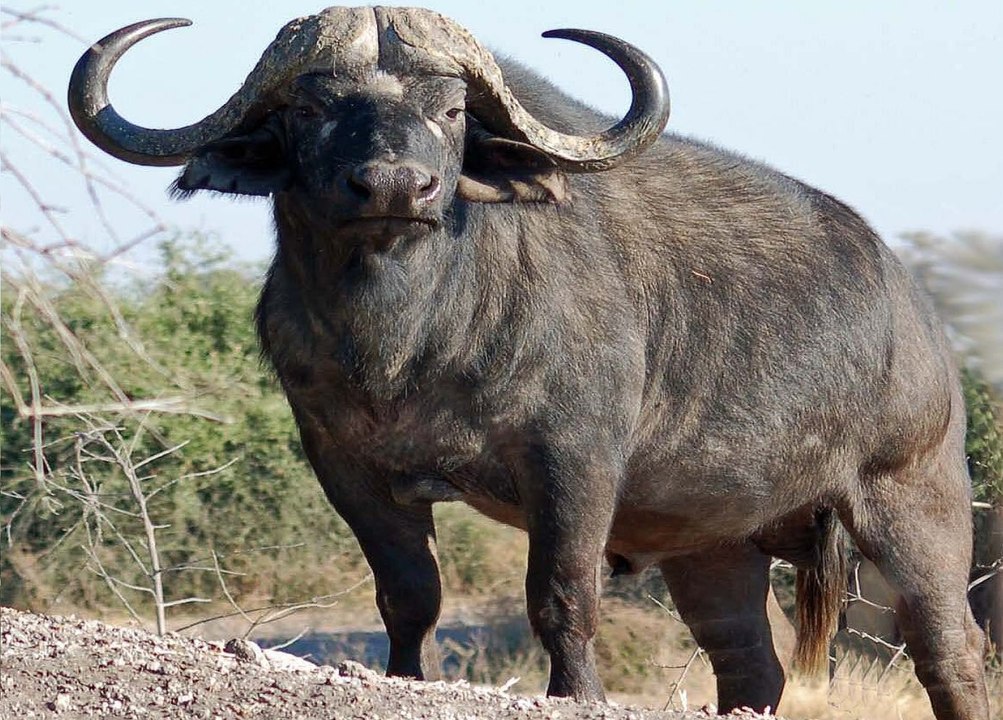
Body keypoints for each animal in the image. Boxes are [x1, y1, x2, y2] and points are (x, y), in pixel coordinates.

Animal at [69, 7, 988, 719]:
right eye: (310, 108)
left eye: (449, 110)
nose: (395, 186)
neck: (407, 339)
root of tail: (915, 316)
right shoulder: (344, 463)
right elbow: (408, 594)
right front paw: (405, 676)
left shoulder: (573, 460)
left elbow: (561, 592)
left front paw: (573, 690)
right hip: (712, 545)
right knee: (748, 663)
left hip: (915, 501)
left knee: (950, 645)